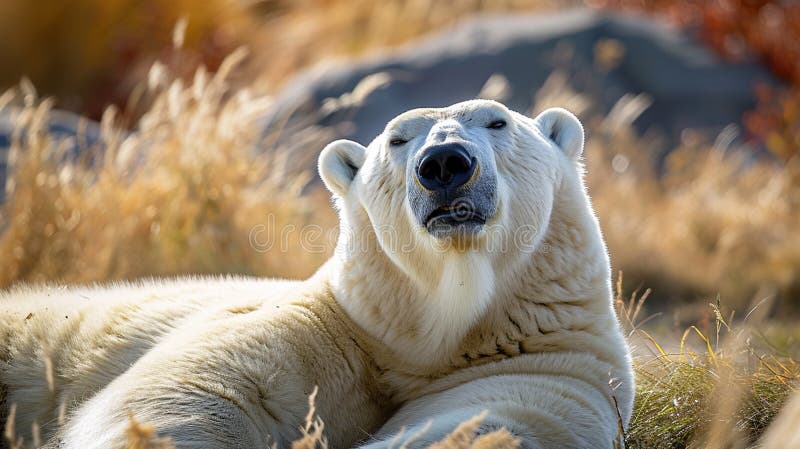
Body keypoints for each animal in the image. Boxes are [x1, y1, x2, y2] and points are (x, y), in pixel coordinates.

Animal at [1, 99, 634, 449]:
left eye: (497, 121)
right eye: (398, 138)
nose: (444, 164)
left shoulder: (544, 355)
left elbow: (492, 422)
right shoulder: (328, 326)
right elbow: (187, 394)